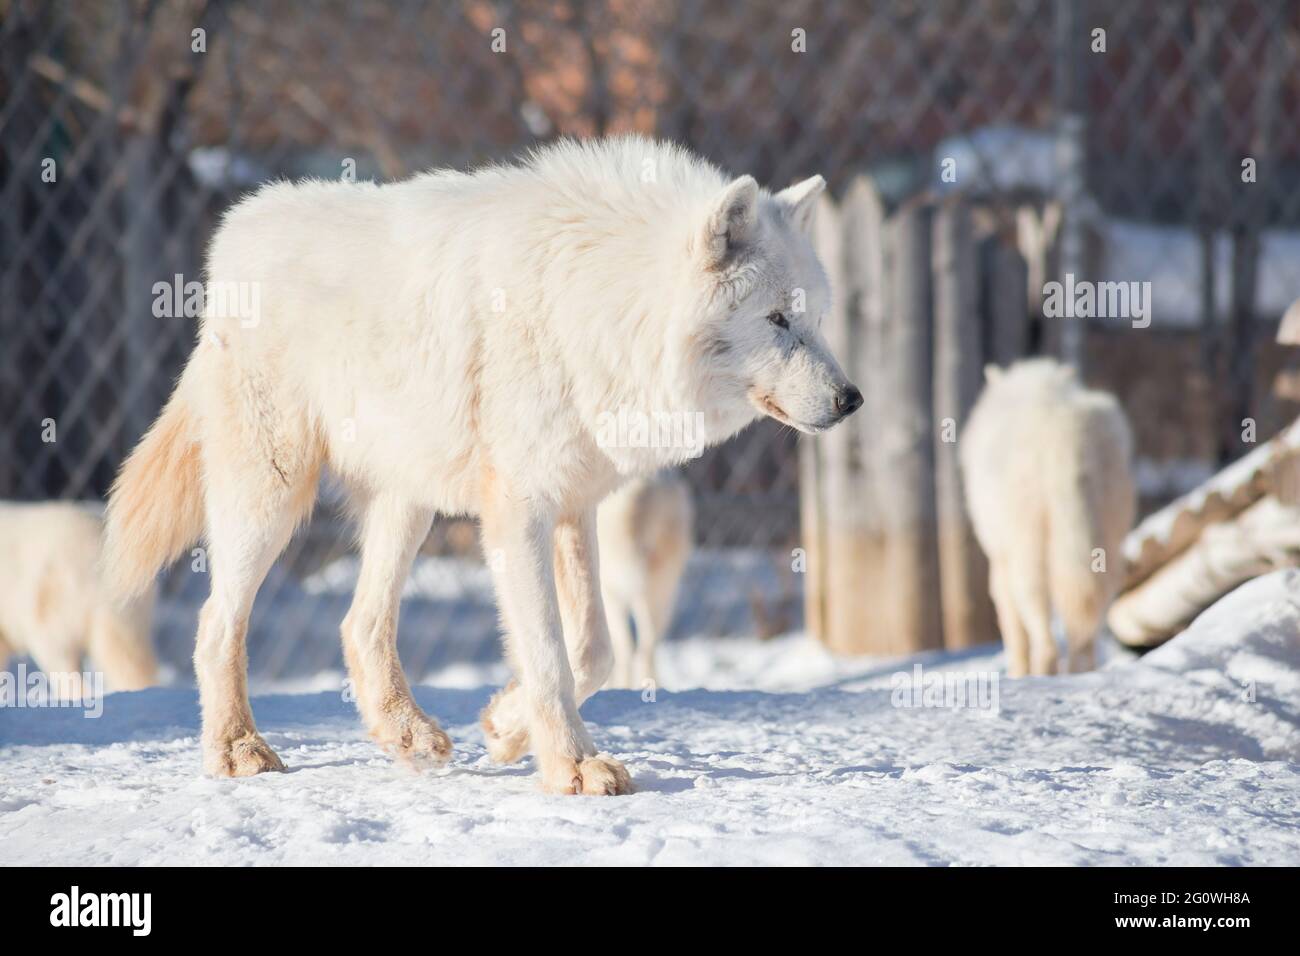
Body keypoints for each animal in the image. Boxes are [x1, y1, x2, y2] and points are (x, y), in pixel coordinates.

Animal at [960, 358, 1135, 677]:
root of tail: (1065, 437)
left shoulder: (1000, 563)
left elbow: (1013, 631)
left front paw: (1017, 673)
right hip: (1106, 548)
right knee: (1086, 619)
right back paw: (1080, 674)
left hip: (1028, 554)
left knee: (1044, 632)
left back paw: (1044, 672)